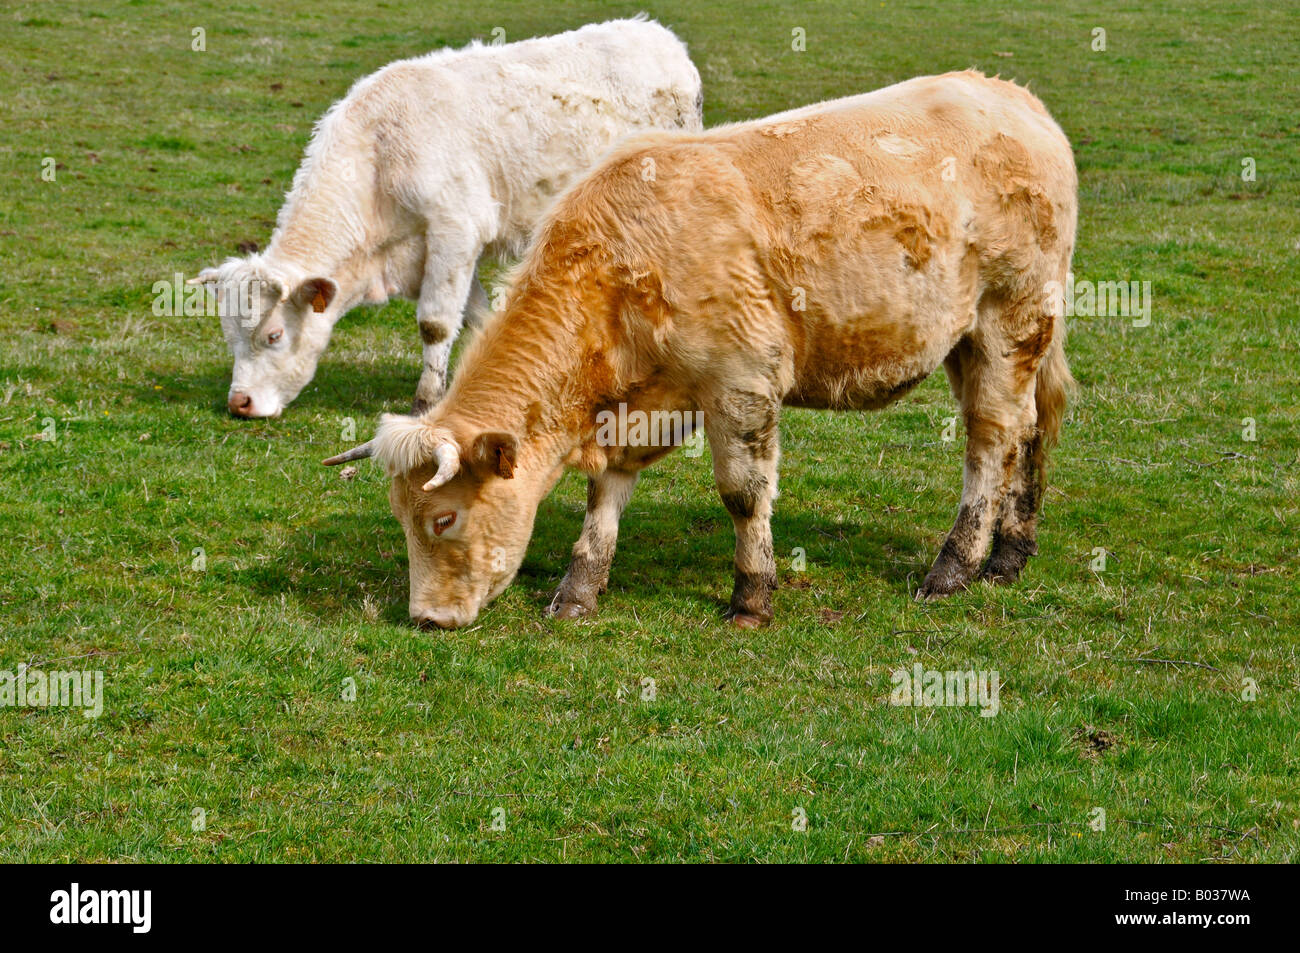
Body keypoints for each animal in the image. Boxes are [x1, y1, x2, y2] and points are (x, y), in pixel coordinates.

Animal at [189, 17, 703, 421]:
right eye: (230, 336)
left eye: (273, 335)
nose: (239, 403)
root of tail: (655, 34)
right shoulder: (435, 252)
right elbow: (476, 316)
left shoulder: (454, 232)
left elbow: (434, 323)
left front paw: (425, 400)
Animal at [336, 71, 1077, 630]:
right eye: (404, 519)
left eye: (443, 518)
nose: (426, 617)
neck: (622, 267)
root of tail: (1013, 98)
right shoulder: (637, 407)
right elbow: (604, 493)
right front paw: (578, 588)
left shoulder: (742, 384)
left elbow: (743, 496)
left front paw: (751, 595)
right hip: (980, 339)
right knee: (1031, 429)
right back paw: (1011, 553)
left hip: (1009, 319)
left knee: (992, 438)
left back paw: (955, 565)